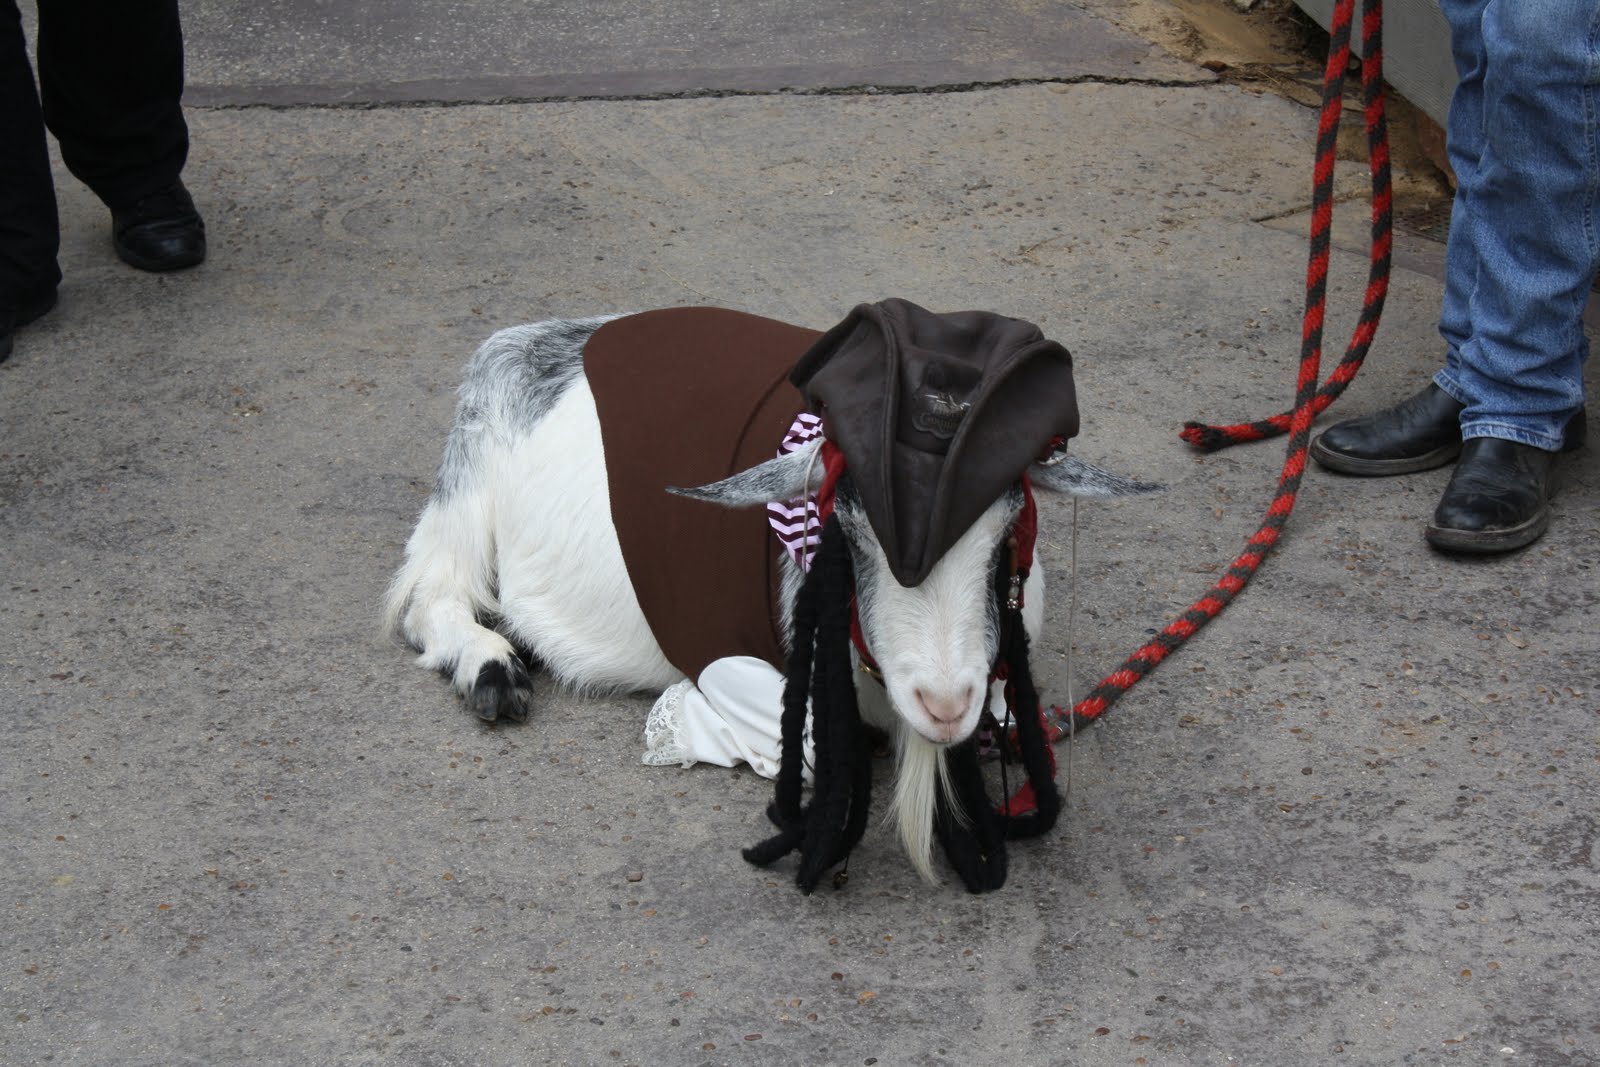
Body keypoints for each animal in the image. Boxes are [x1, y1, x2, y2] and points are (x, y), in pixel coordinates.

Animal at [385, 305, 1158, 891]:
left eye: (1006, 533)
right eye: (849, 527)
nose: (943, 704)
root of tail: (536, 336)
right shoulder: (716, 645)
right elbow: (813, 745)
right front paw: (684, 720)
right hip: (469, 490)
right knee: (428, 593)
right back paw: (491, 668)